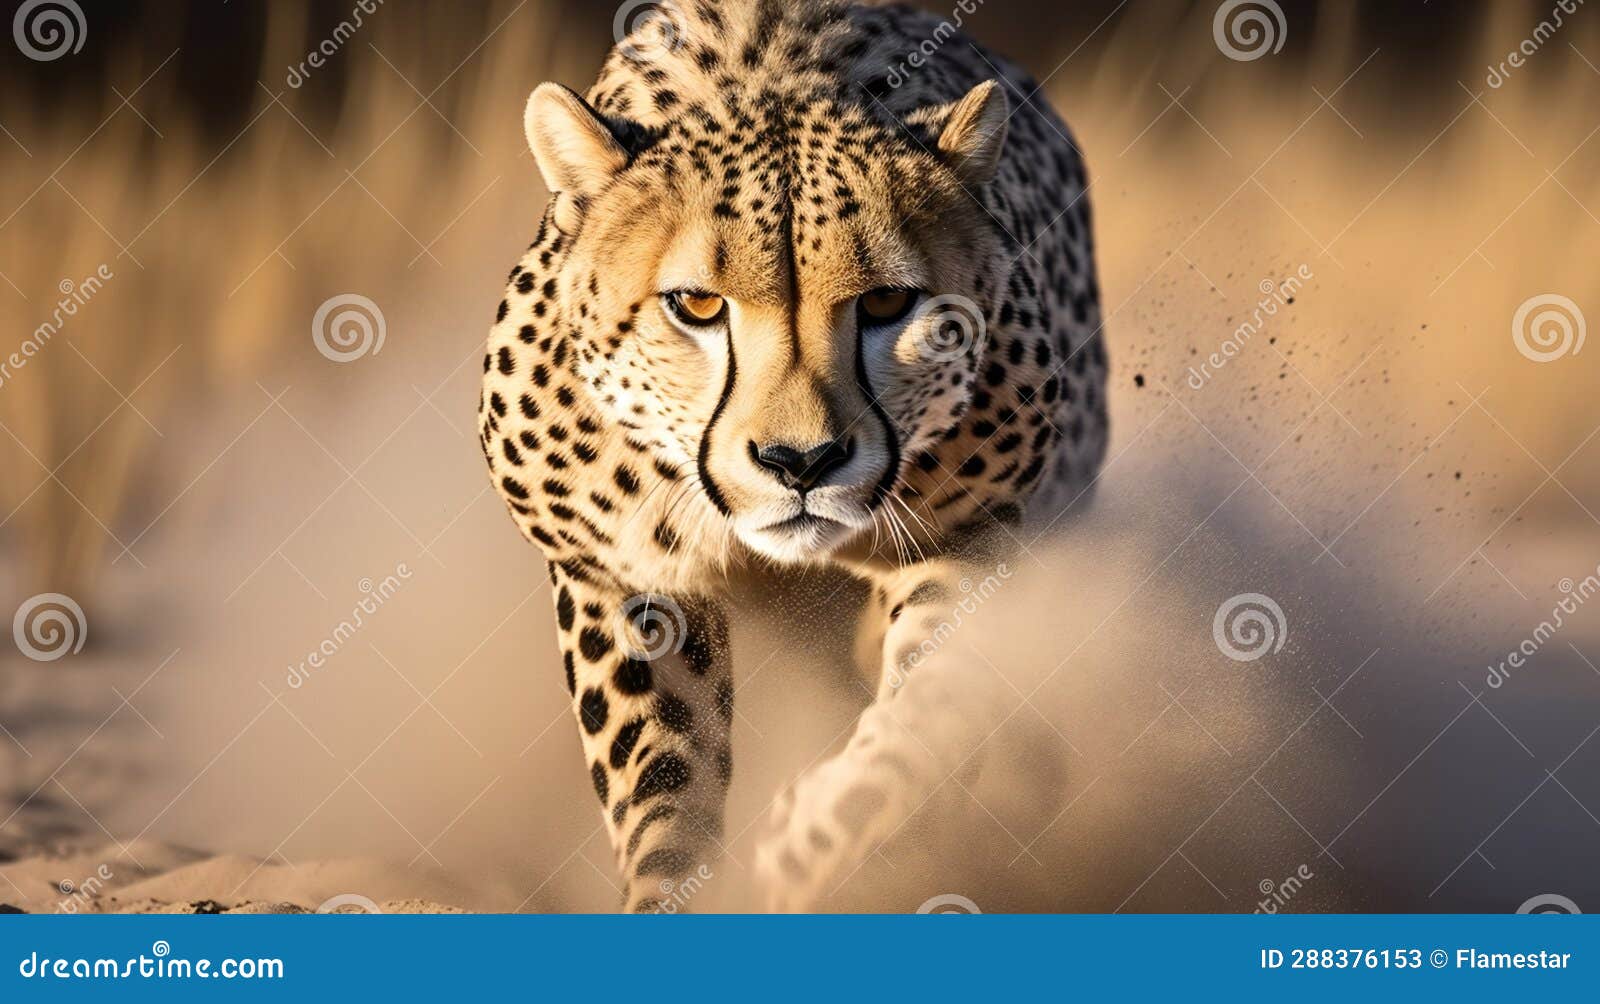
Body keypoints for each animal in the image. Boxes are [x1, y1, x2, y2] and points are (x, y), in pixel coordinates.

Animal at [478, 0, 1107, 912]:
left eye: (887, 302)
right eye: (696, 305)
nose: (799, 463)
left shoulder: (972, 537)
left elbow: (926, 722)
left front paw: (812, 841)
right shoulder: (622, 577)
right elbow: (662, 777)